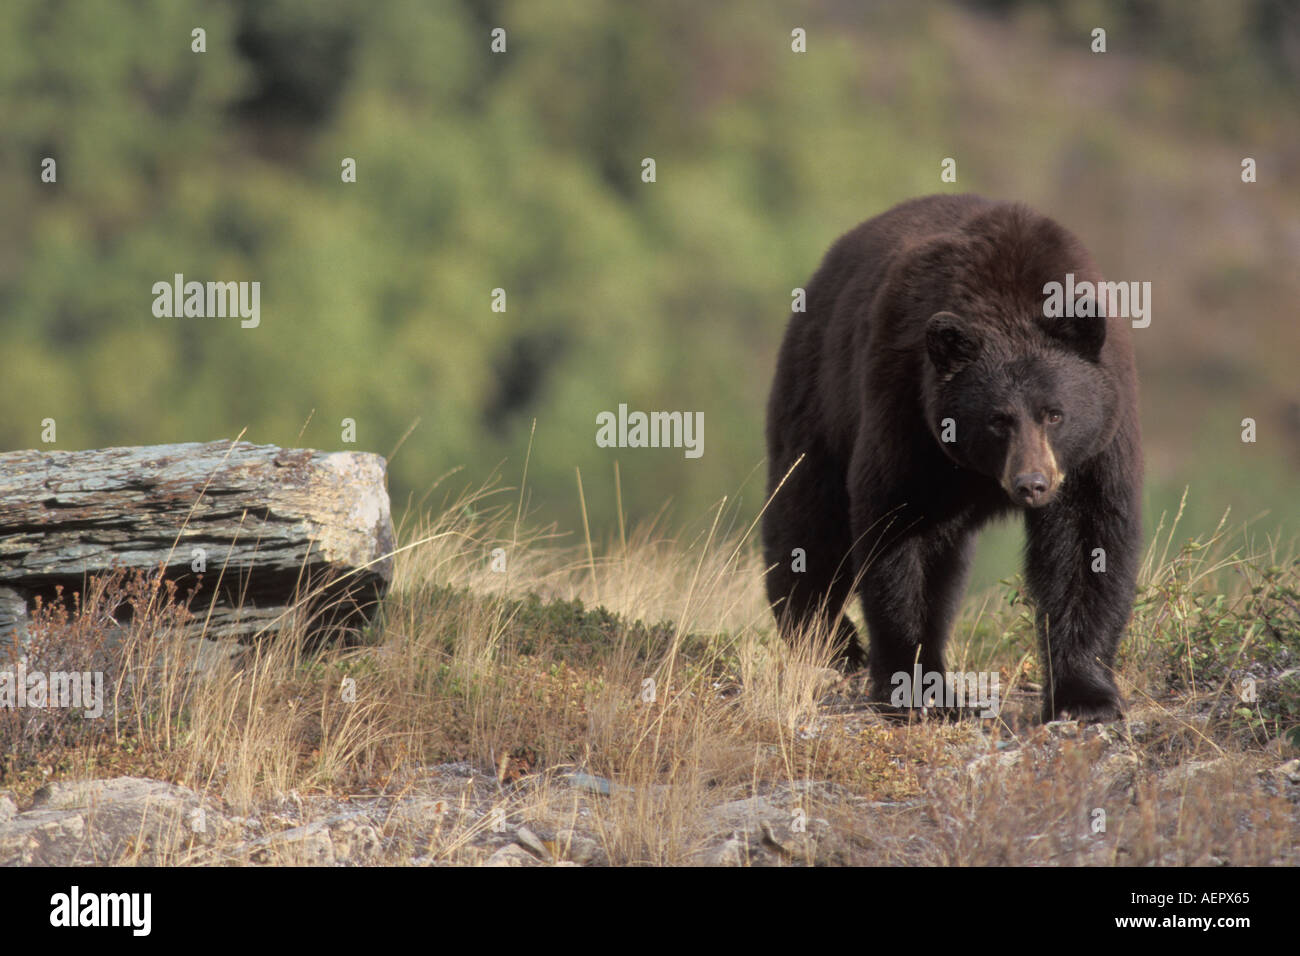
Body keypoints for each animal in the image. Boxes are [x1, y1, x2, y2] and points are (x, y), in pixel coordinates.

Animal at [762, 194, 1142, 722]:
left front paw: (1084, 697)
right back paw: (830, 640)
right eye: (998, 419)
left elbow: (1086, 543)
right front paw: (920, 689)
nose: (1032, 483)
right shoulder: (909, 410)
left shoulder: (1097, 443)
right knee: (808, 516)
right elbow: (903, 538)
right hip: (820, 392)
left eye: (1054, 414)